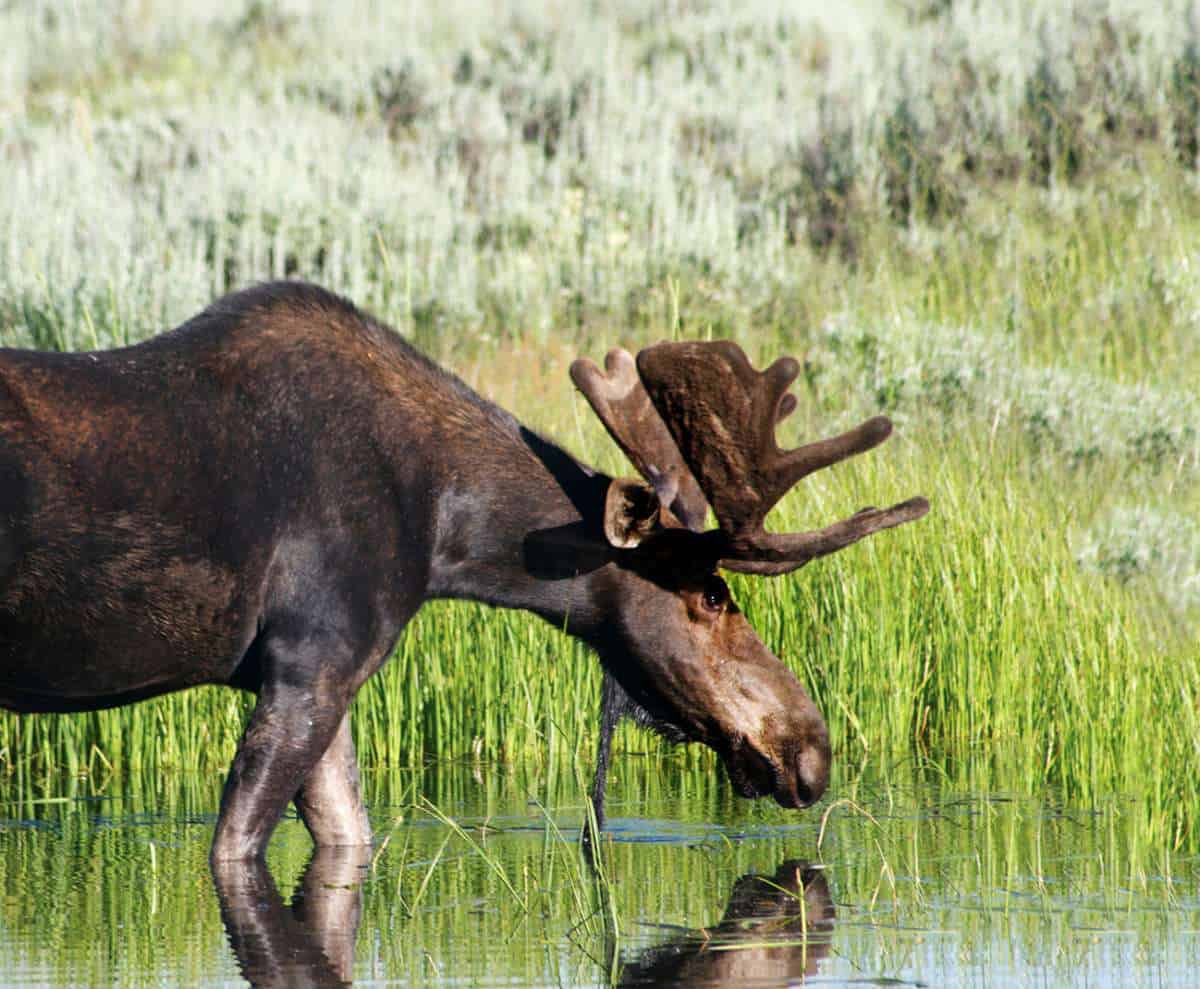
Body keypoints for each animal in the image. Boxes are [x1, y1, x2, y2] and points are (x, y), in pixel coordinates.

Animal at [0, 281, 928, 863]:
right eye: (710, 593)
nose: (810, 748)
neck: (445, 532)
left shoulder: (330, 681)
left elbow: (351, 836)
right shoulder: (310, 663)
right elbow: (237, 846)